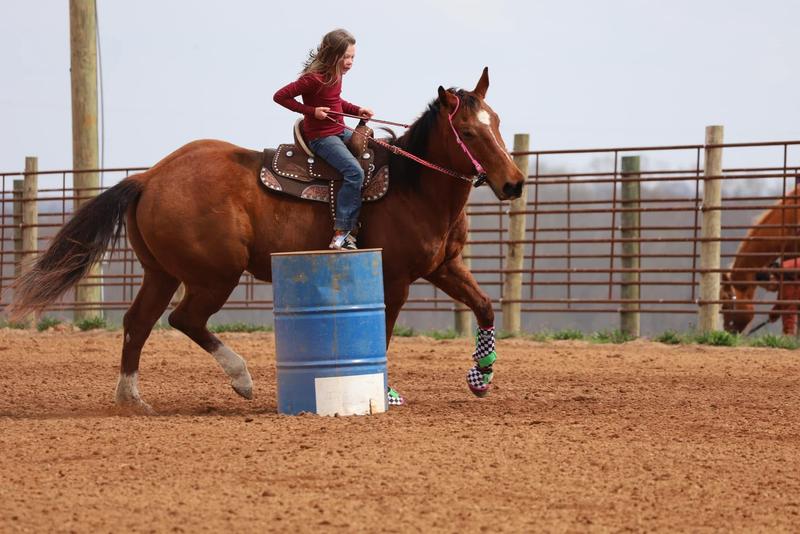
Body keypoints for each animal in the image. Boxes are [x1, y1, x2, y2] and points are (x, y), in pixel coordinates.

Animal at [8, 68, 526, 412]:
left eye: (498, 122)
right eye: (467, 131)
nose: (514, 183)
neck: (410, 186)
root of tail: (151, 176)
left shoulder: (444, 266)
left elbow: (484, 306)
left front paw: (481, 377)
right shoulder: (394, 278)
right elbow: (382, 330)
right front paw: (385, 391)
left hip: (161, 272)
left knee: (139, 322)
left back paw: (131, 399)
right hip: (214, 274)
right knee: (183, 319)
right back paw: (242, 380)